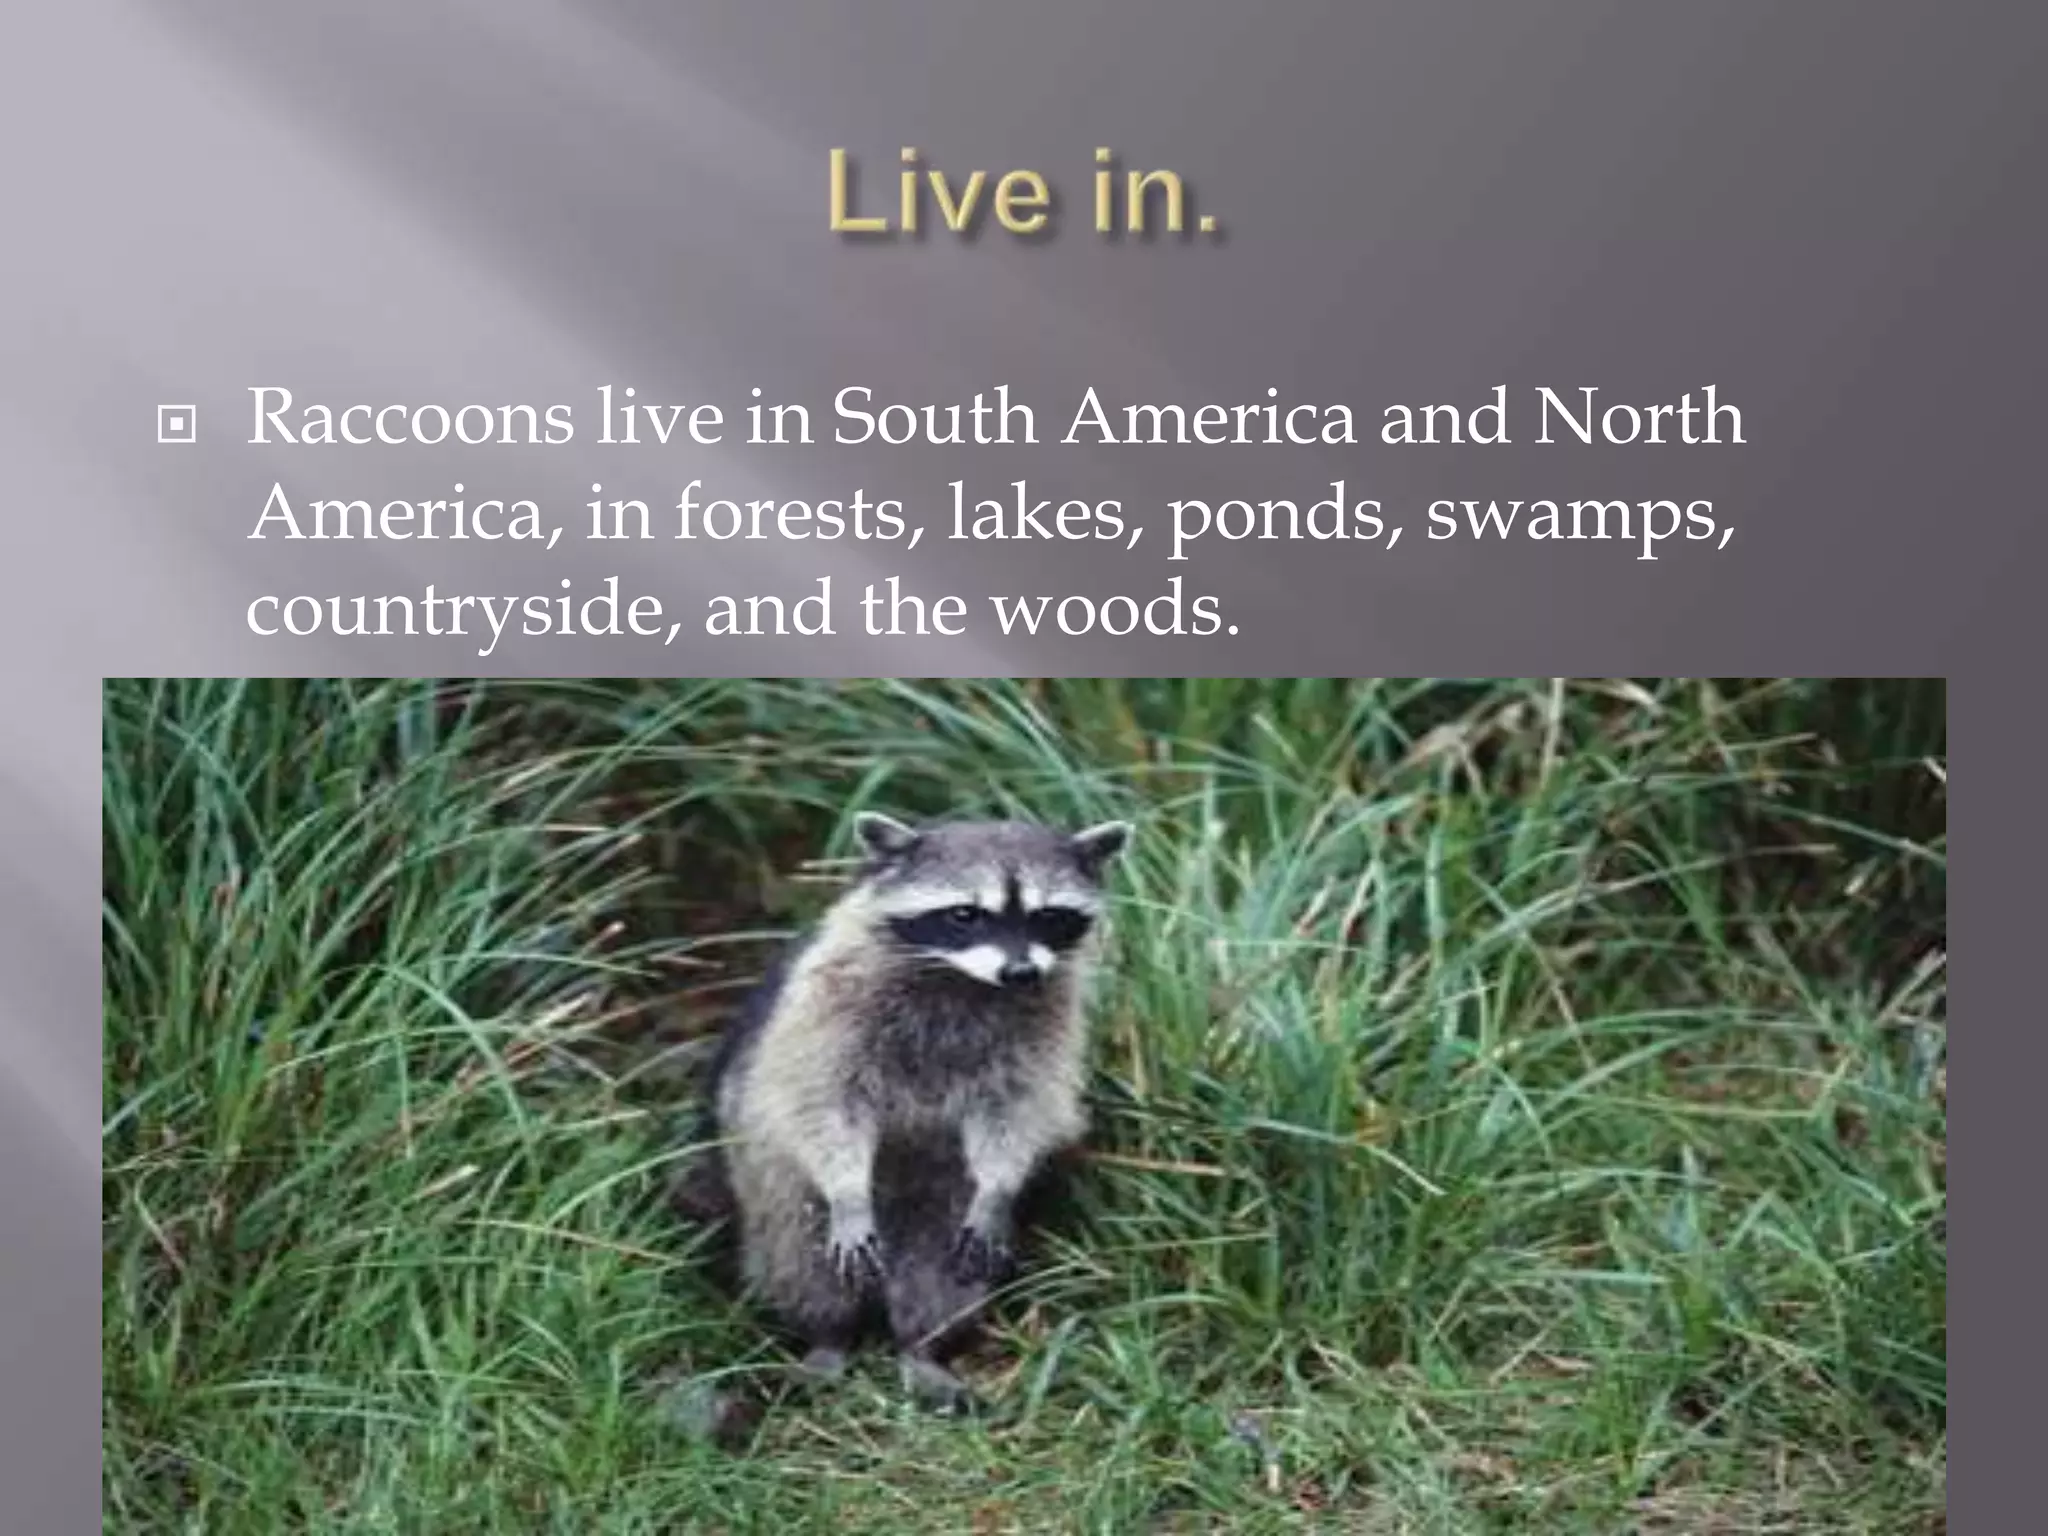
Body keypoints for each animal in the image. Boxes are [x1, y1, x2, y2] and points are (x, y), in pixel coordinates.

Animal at [707, 811, 1131, 1408]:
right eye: (965, 915)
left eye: (1048, 916)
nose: (1021, 973)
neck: (960, 977)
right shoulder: (828, 1006)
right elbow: (823, 1100)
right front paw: (847, 1190)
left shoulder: (1044, 1020)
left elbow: (1018, 1108)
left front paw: (999, 1185)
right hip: (774, 1187)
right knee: (802, 1260)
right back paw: (829, 1335)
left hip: (942, 1202)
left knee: (939, 1275)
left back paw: (921, 1344)